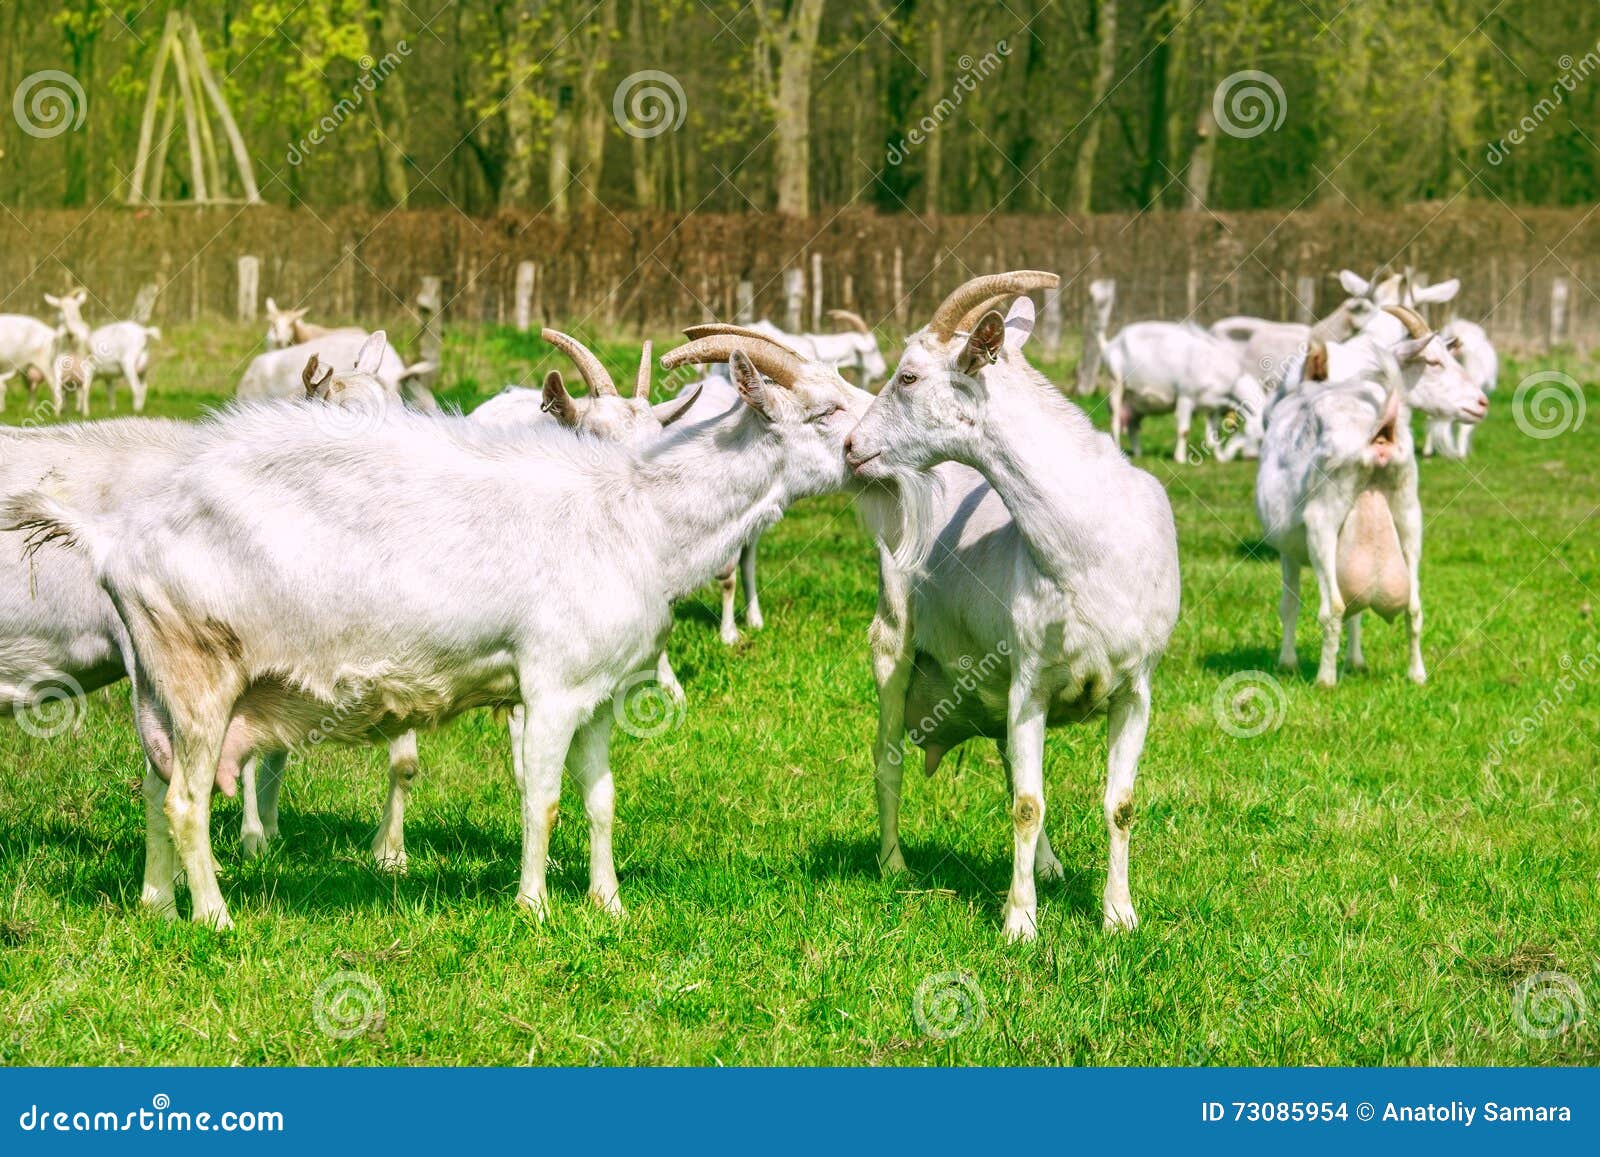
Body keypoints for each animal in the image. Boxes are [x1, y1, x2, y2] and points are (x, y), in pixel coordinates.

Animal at [4, 333, 868, 928]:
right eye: (824, 410)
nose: (871, 441)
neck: (635, 516)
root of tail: (114, 538)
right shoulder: (550, 687)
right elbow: (542, 798)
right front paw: (534, 908)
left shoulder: (599, 696)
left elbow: (601, 799)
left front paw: (609, 904)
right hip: (197, 672)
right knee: (186, 797)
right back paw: (216, 916)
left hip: (156, 680)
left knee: (154, 785)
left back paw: (157, 904)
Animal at [841, 271, 1181, 942]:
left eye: (908, 376)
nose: (851, 446)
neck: (1094, 546)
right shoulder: (1032, 681)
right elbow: (1028, 804)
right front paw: (1020, 924)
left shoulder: (1135, 689)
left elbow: (1120, 805)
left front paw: (1120, 915)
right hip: (893, 643)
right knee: (888, 756)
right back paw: (893, 864)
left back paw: (1049, 866)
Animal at [1102, 321, 1267, 461]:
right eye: (1260, 439)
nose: (1252, 458)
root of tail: (1111, 343)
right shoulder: (1185, 397)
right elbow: (1184, 430)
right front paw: (1180, 459)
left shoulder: (1213, 406)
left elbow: (1214, 435)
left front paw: (1220, 458)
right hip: (1115, 382)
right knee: (1115, 421)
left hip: (1136, 402)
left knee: (1133, 426)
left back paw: (1138, 453)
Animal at [1255, 312, 1488, 688]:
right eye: (1434, 362)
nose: (1482, 403)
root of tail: (1382, 429)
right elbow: (1357, 609)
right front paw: (1357, 662)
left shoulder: (1287, 548)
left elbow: (1290, 604)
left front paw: (1287, 663)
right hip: (1408, 515)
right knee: (1413, 607)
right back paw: (1417, 675)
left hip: (1323, 521)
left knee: (1332, 608)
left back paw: (1325, 680)